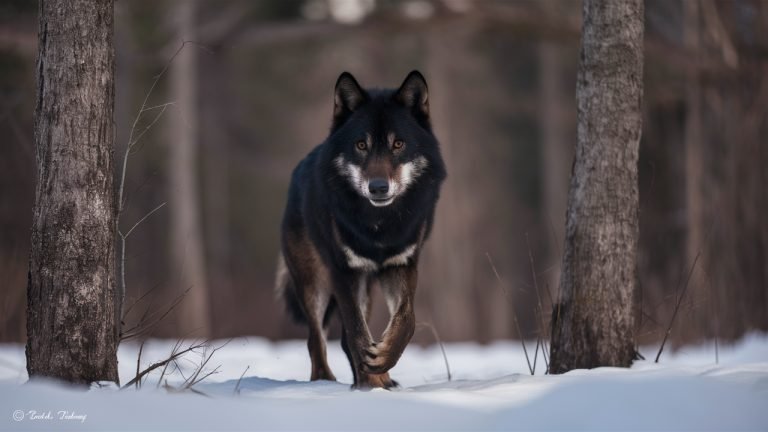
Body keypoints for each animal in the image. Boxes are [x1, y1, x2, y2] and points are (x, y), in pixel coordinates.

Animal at [276, 70, 446, 389]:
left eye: (398, 144)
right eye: (361, 145)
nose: (378, 187)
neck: (378, 225)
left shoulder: (401, 264)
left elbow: (406, 319)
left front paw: (382, 361)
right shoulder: (342, 271)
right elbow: (356, 332)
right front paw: (371, 379)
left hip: (365, 285)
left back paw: (380, 377)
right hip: (315, 283)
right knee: (316, 340)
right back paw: (328, 382)